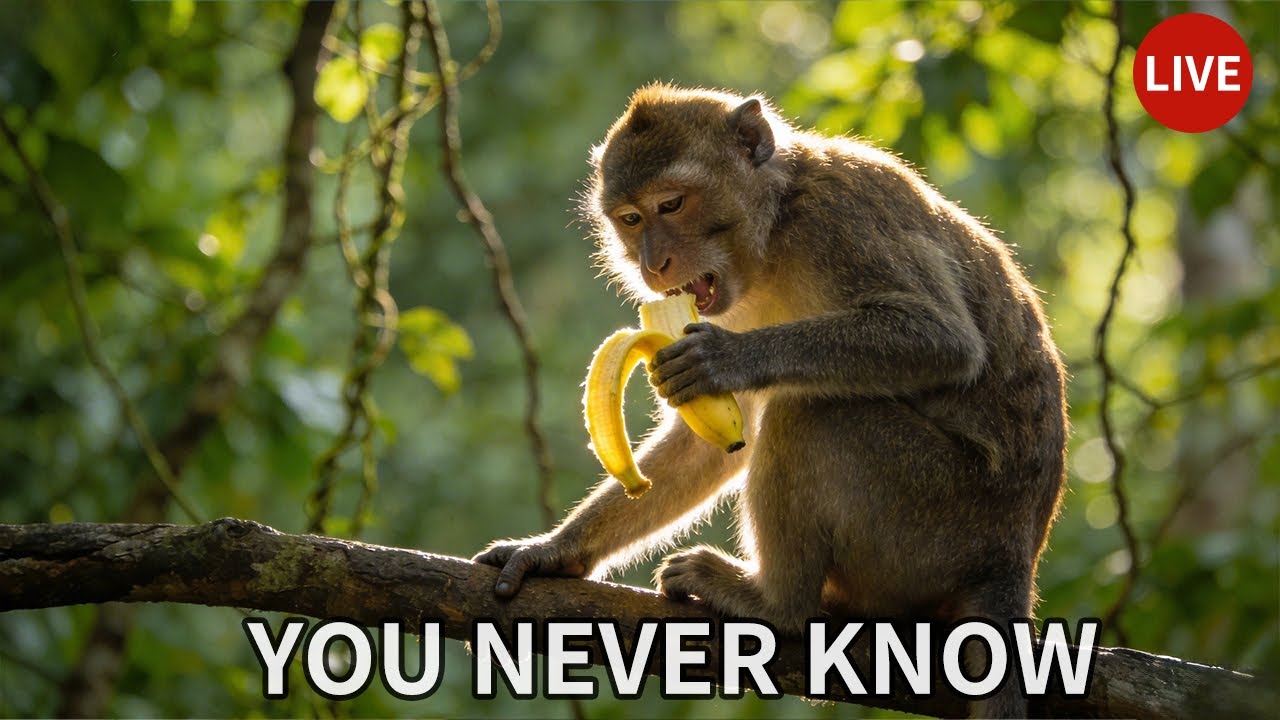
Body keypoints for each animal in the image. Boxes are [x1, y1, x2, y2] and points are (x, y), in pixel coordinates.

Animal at [474, 84, 1067, 718]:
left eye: (672, 205)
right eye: (631, 219)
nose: (653, 265)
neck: (776, 232)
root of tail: (1012, 561)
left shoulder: (840, 220)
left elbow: (943, 339)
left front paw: (727, 359)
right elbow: (716, 445)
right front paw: (555, 551)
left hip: (941, 519)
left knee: (810, 414)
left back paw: (774, 603)